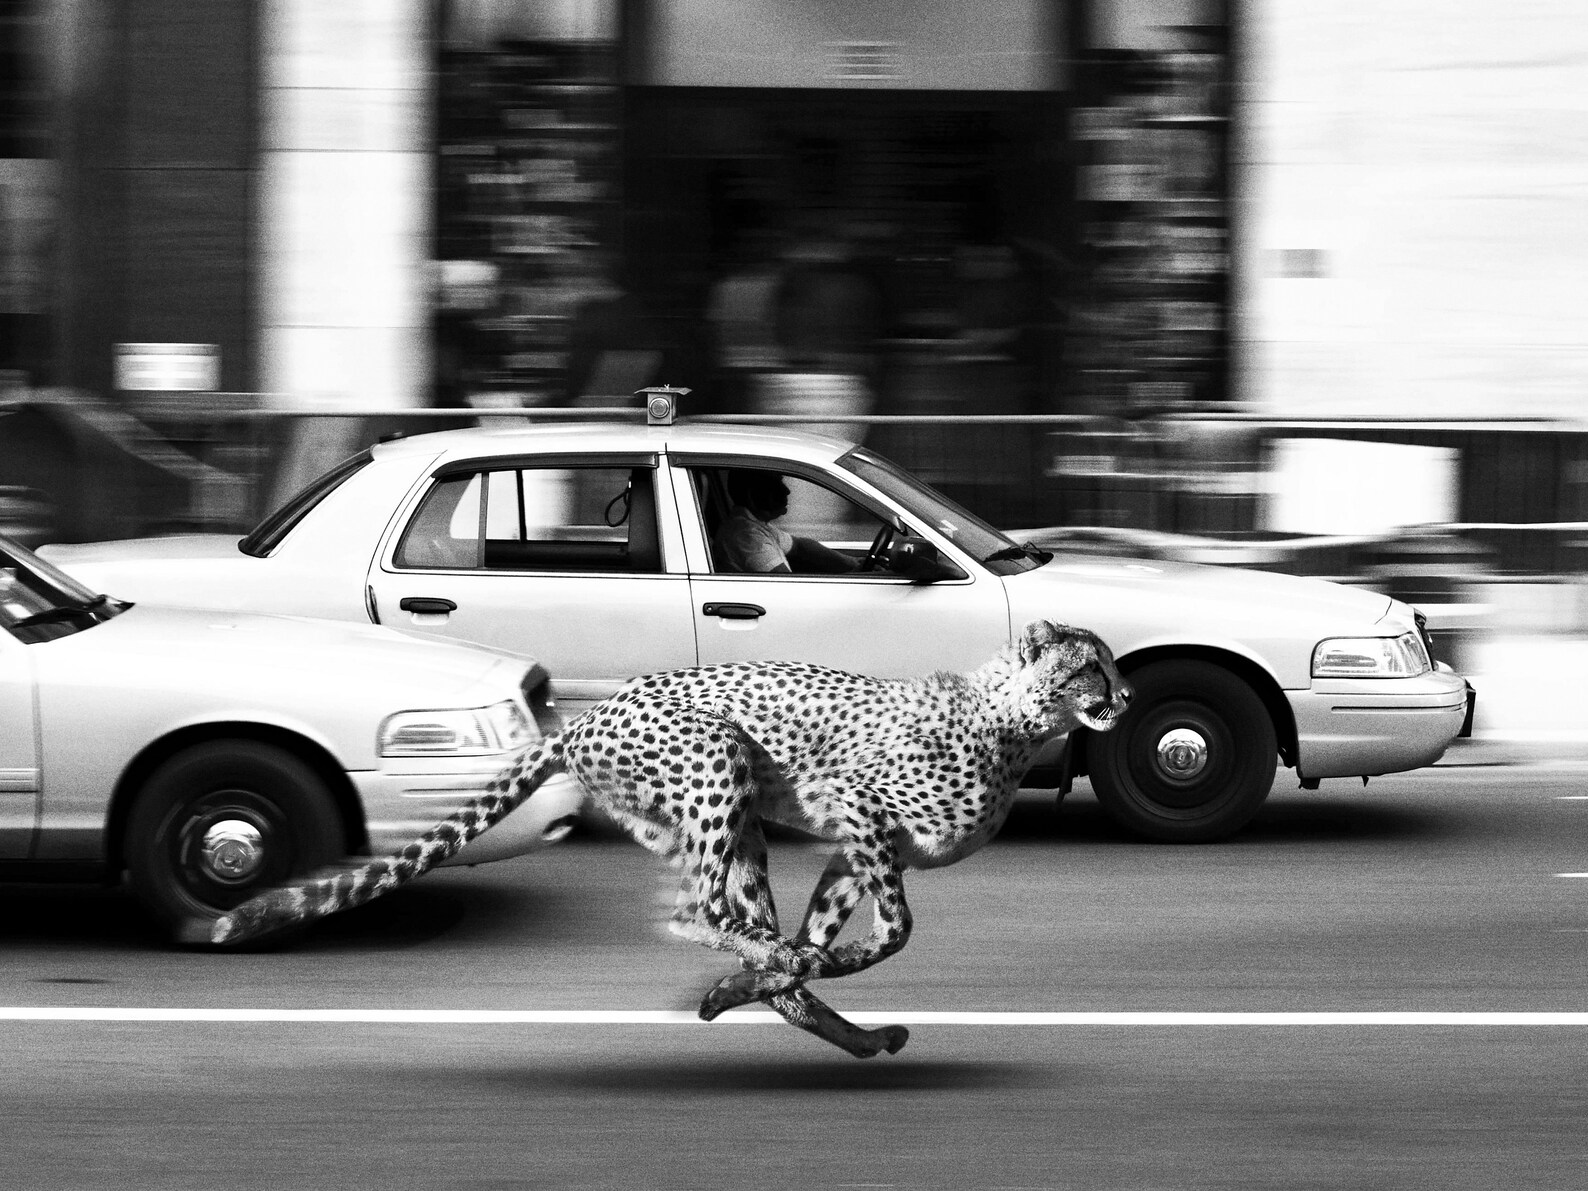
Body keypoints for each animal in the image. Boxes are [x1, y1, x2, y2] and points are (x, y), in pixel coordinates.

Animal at [192, 619, 1132, 1059]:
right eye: (1093, 665)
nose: (1123, 700)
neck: (1011, 721)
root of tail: (585, 713)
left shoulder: (853, 843)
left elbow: (829, 936)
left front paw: (785, 974)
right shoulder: (856, 804)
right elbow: (894, 930)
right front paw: (798, 963)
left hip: (738, 817)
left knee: (729, 912)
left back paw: (801, 1005)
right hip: (721, 762)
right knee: (692, 907)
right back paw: (759, 964)